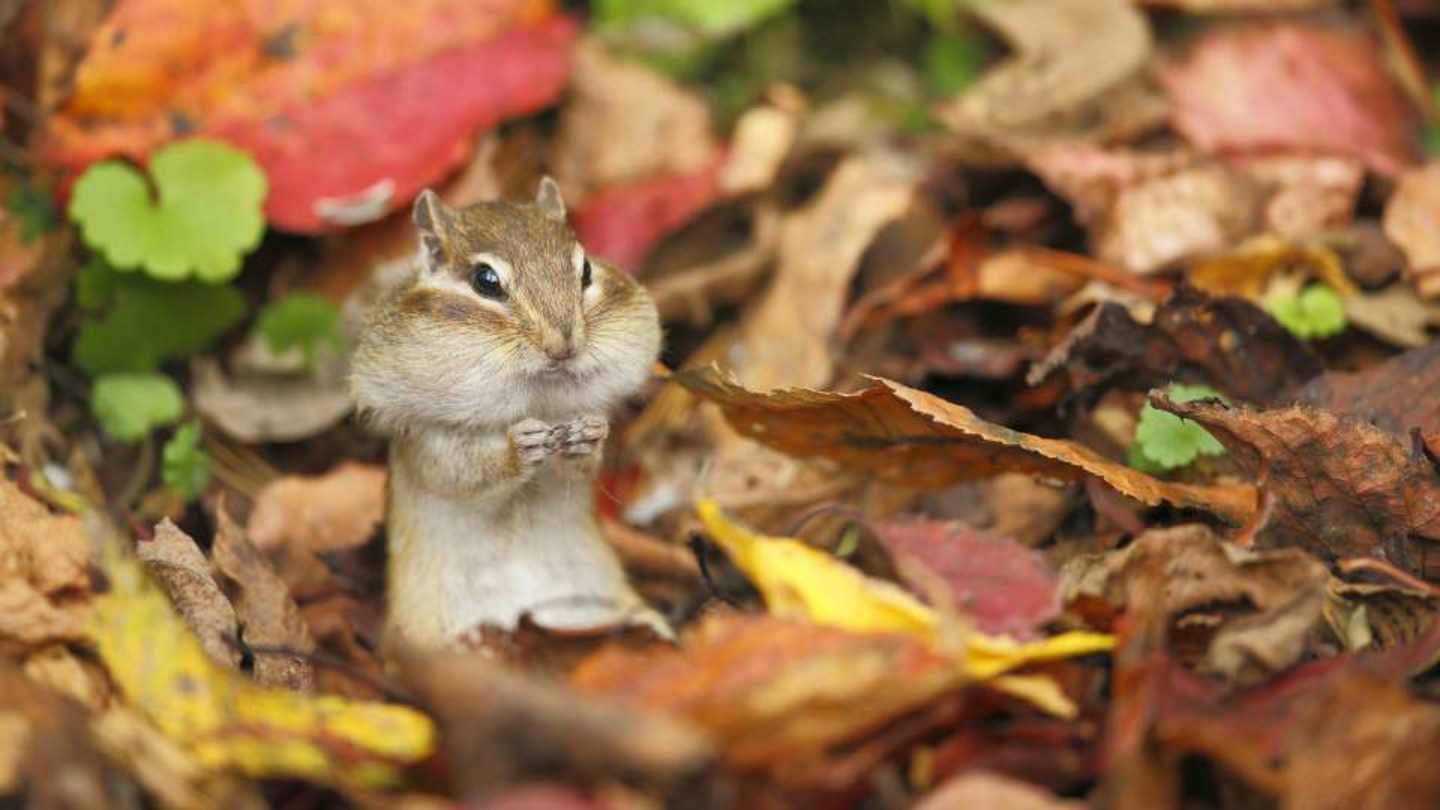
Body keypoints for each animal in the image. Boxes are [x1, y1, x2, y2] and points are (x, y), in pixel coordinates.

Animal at [350, 178, 670, 651]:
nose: (563, 344)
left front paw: (589, 436)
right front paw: (517, 450)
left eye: (586, 271)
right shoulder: (428, 437)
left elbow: (584, 467)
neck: (537, 402)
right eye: (485, 281)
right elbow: (457, 473)